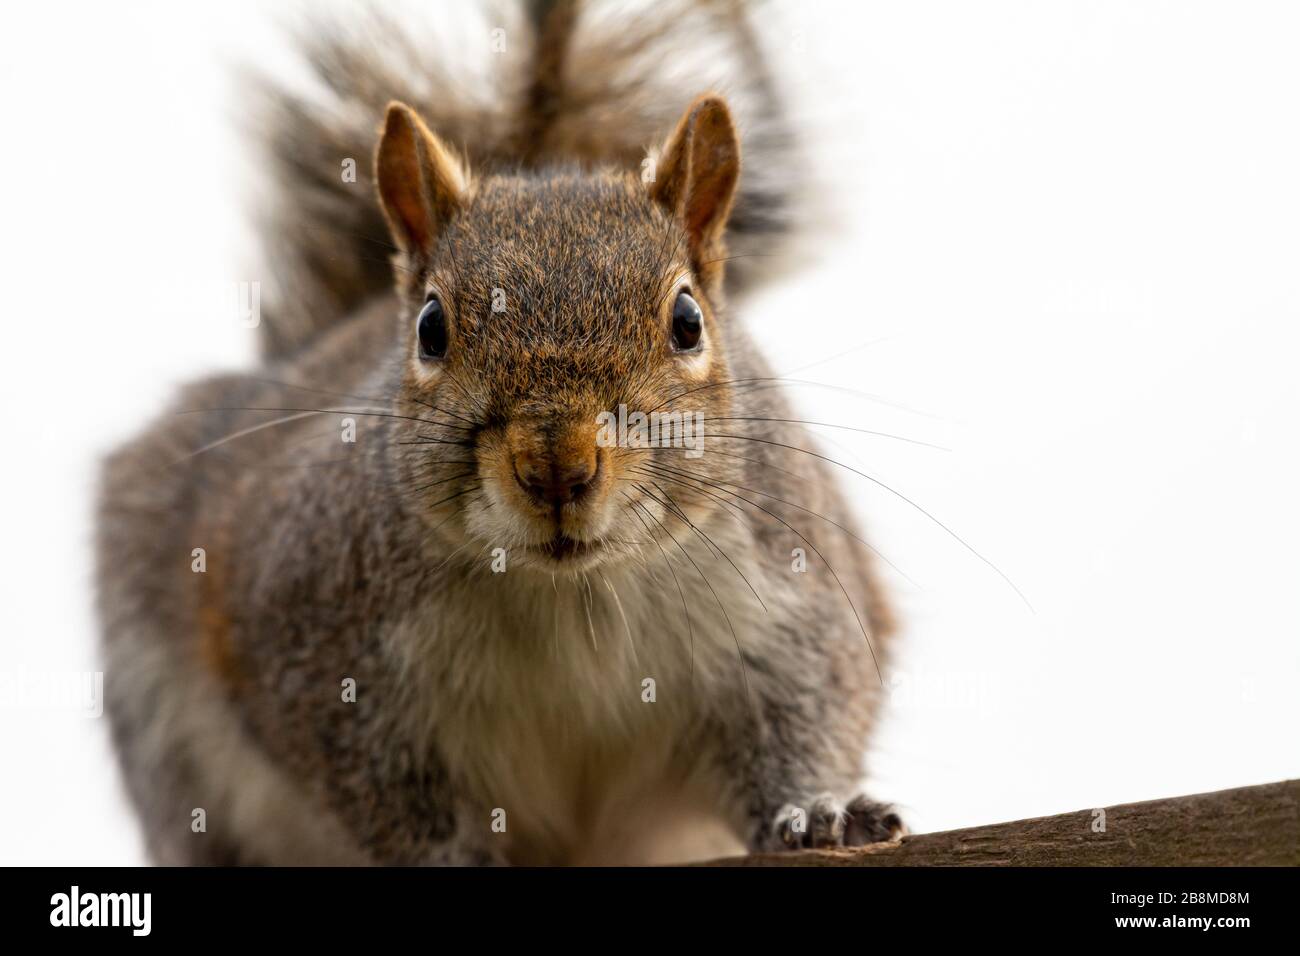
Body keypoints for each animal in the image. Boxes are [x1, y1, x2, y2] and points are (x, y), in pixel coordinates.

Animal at [96, 0, 900, 865]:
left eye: (688, 321)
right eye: (430, 328)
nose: (555, 465)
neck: (572, 590)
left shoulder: (788, 604)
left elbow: (807, 714)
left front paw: (814, 811)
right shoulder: (316, 648)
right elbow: (384, 795)